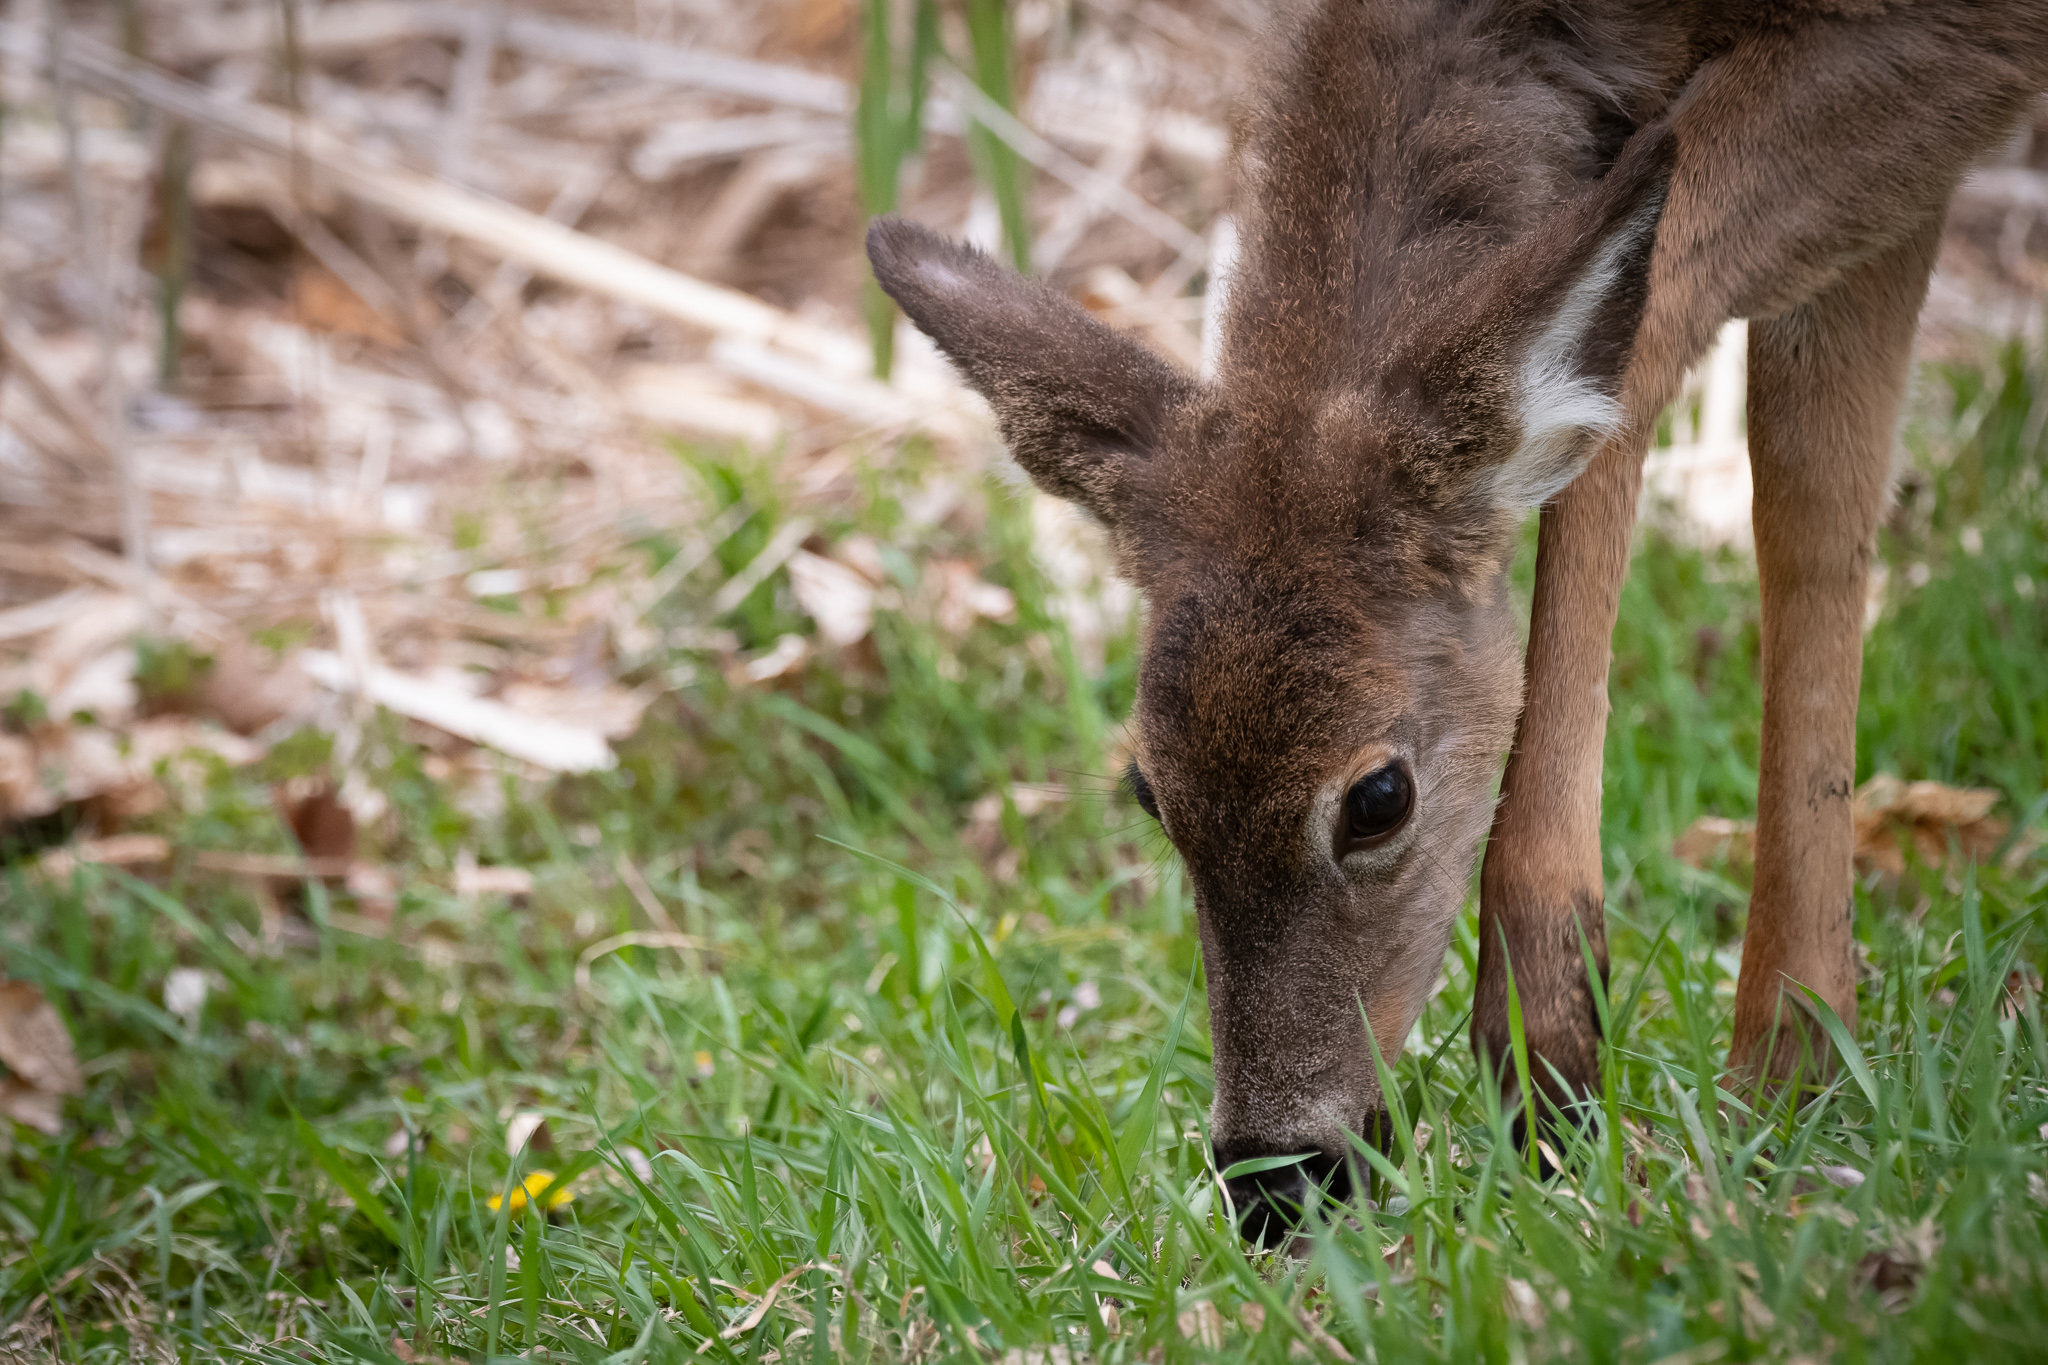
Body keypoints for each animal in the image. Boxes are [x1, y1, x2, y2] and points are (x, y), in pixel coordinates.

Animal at [868, 0, 2048, 1242]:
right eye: (1149, 788)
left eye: (1377, 797)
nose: (1274, 1177)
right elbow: (1818, 489)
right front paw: (1793, 1060)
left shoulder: (1953, 45)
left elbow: (1653, 329)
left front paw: (1561, 1060)